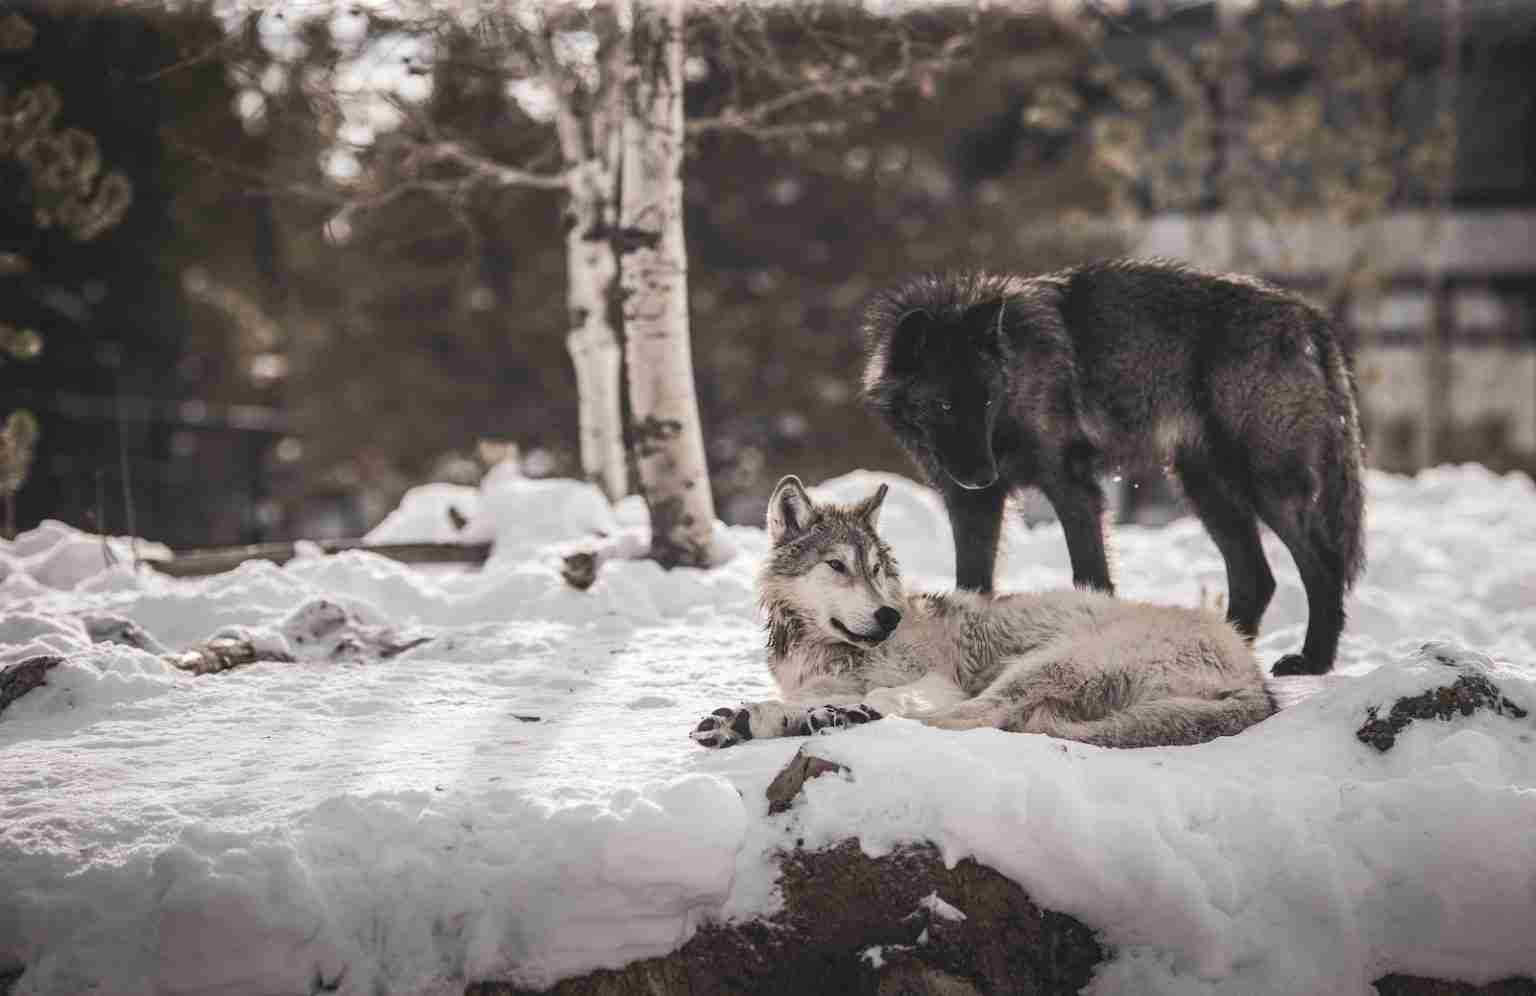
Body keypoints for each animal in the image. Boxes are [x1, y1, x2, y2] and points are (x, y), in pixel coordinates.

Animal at [690, 475, 1274, 749]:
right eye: (837, 566)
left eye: (876, 568)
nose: (889, 617)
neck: (825, 651)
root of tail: (1256, 677)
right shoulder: (816, 682)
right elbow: (807, 699)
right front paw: (751, 716)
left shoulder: (936, 681)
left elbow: (893, 696)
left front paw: (831, 712)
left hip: (1043, 664)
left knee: (978, 718)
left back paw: (843, 720)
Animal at [860, 259, 1366, 676]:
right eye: (944, 406)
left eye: (985, 401)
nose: (984, 476)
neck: (1017, 376)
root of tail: (1307, 314)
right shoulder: (971, 505)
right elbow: (972, 585)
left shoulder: (1072, 487)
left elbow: (1090, 576)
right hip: (1205, 488)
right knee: (1256, 578)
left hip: (1265, 485)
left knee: (1323, 566)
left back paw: (1313, 661)